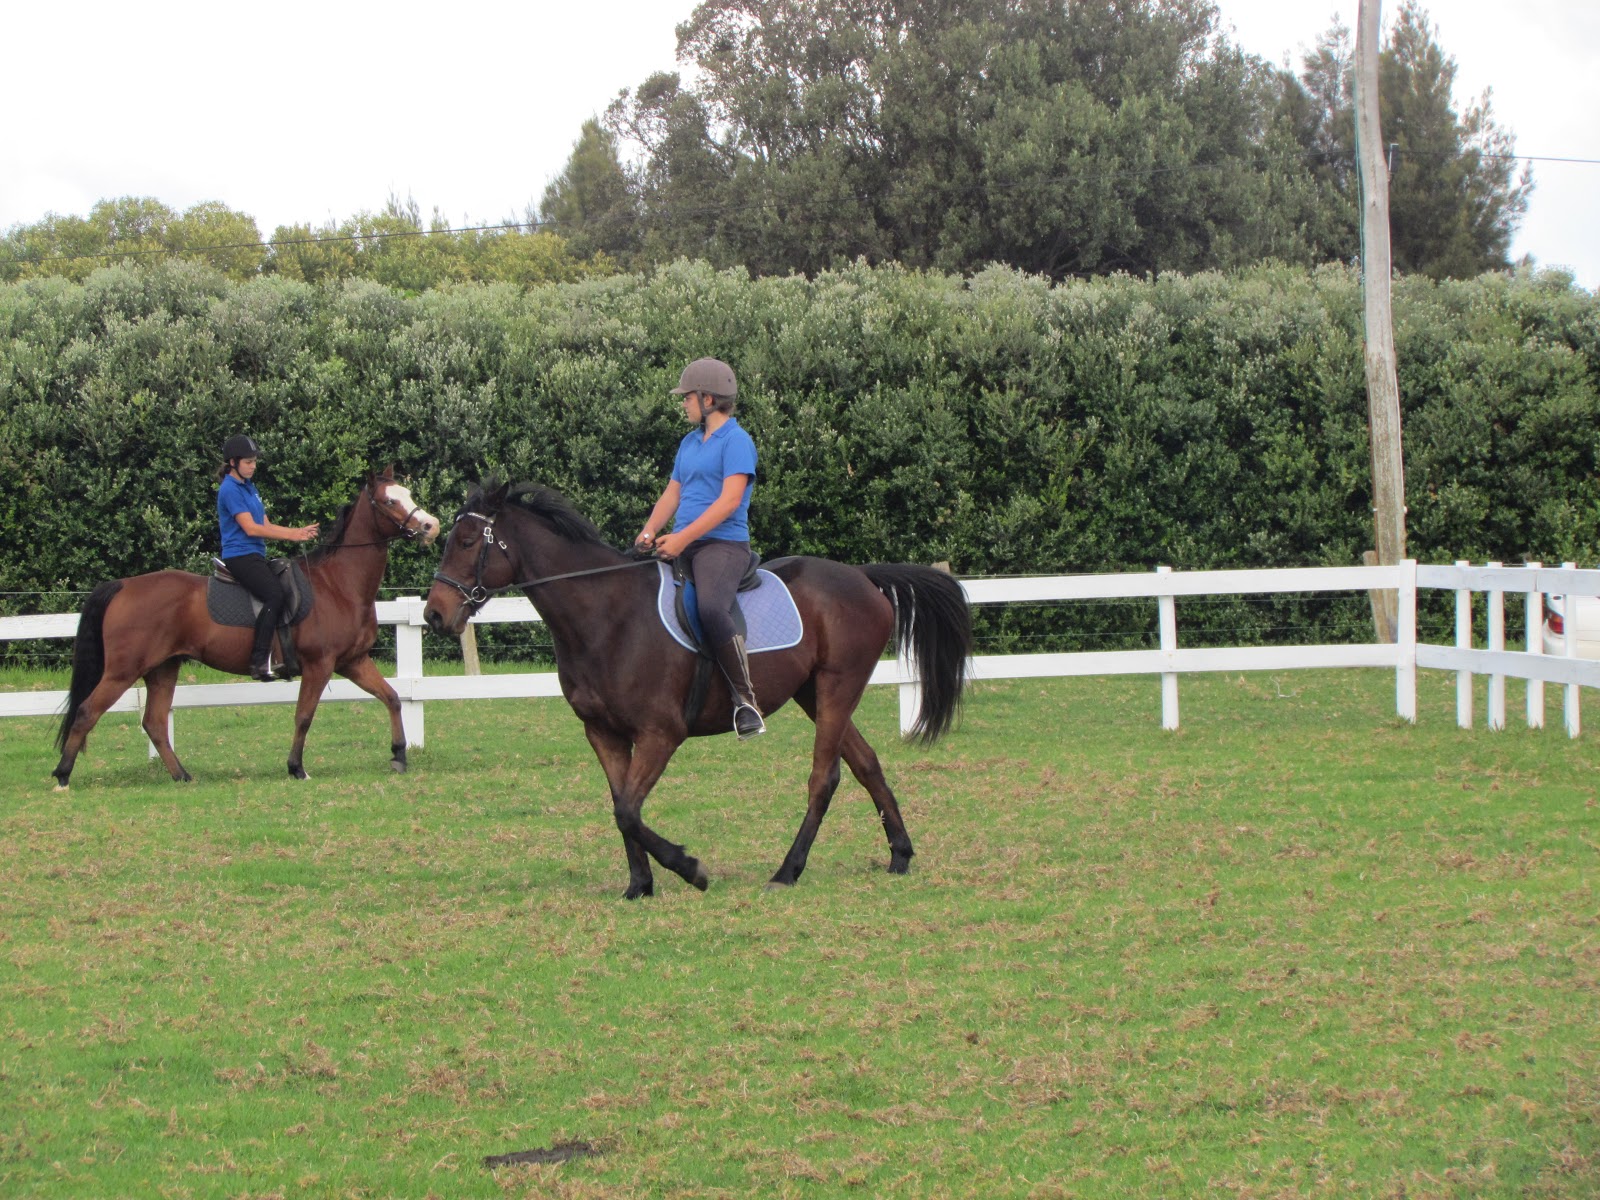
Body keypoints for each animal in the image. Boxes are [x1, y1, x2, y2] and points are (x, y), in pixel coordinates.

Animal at [52, 468, 439, 788]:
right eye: (390, 500)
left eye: (406, 493)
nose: (430, 526)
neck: (338, 585)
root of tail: (124, 586)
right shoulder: (320, 665)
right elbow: (304, 716)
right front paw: (297, 768)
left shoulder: (353, 661)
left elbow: (392, 698)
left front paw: (399, 755)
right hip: (123, 670)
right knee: (87, 712)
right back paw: (62, 776)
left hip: (162, 668)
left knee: (155, 723)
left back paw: (182, 776)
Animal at [422, 481, 972, 898]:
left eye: (468, 542)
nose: (434, 615)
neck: (606, 616)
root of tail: (862, 578)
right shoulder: (603, 733)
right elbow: (622, 808)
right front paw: (640, 886)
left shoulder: (660, 733)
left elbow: (627, 810)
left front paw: (691, 869)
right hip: (813, 694)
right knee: (866, 763)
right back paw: (899, 854)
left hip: (838, 687)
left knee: (825, 777)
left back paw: (786, 872)